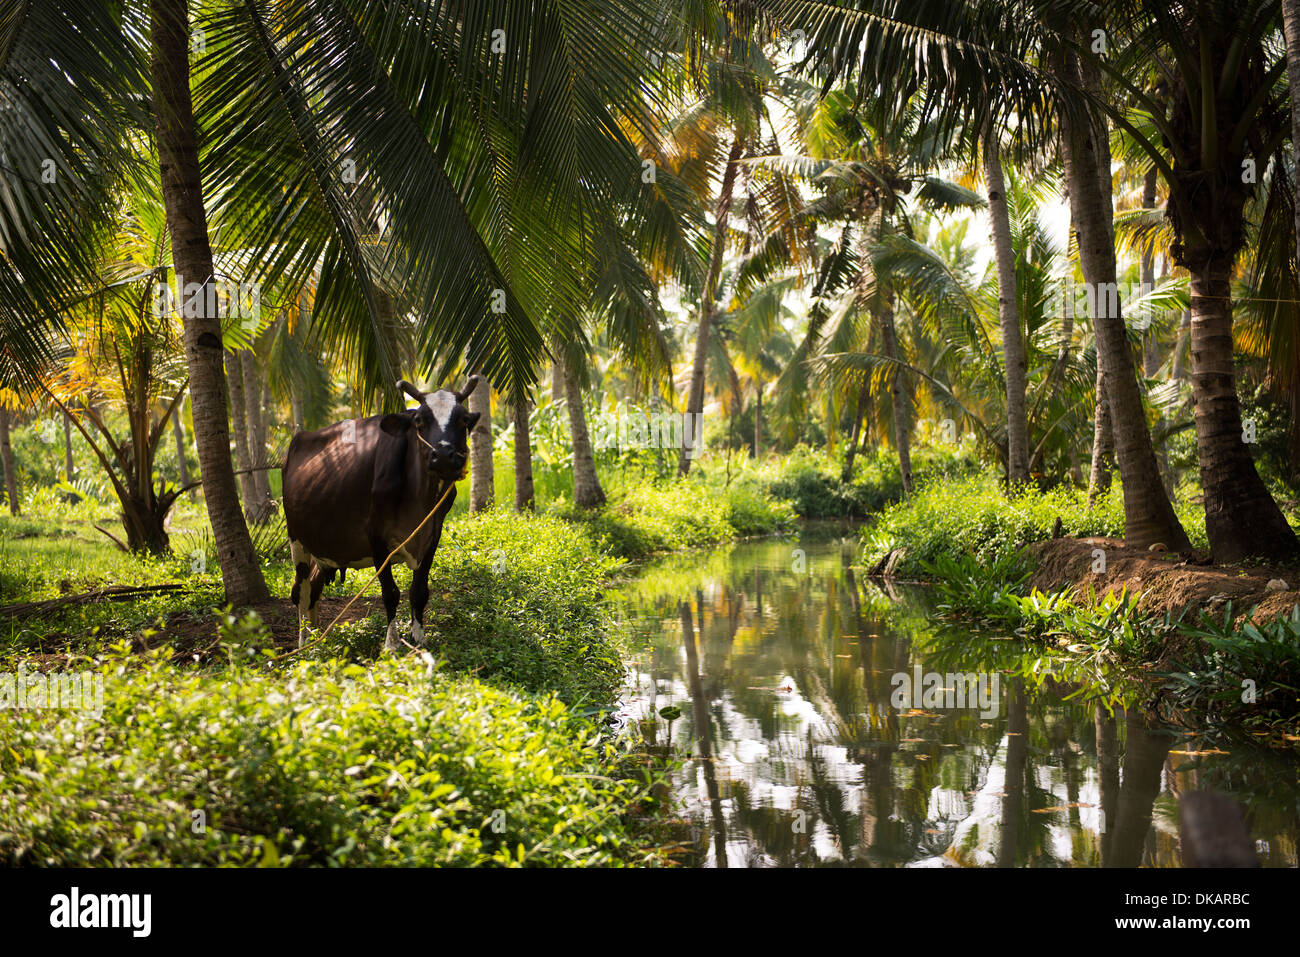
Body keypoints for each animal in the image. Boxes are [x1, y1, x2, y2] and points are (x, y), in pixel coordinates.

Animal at [283, 376, 481, 650]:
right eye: (419, 421)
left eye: (463, 420)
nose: (442, 456)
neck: (419, 498)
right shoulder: (374, 535)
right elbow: (390, 593)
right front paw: (391, 642)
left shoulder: (432, 533)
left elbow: (419, 590)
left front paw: (419, 636)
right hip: (297, 539)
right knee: (300, 591)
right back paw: (304, 643)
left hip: (322, 545)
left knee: (313, 588)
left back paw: (315, 637)